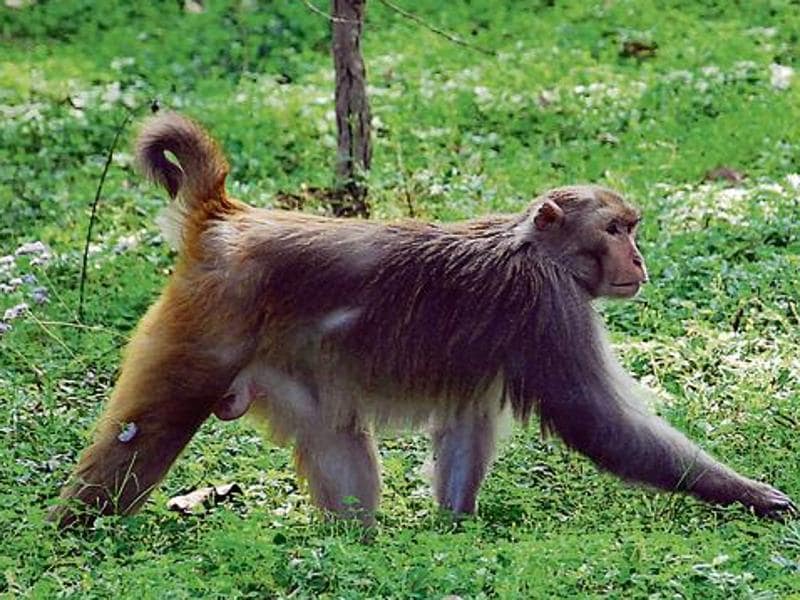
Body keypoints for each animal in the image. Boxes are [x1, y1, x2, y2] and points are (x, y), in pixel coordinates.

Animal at [50, 112, 795, 528]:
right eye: (614, 229)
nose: (637, 259)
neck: (537, 252)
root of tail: (224, 219)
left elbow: (465, 421)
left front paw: (454, 531)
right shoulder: (550, 310)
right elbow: (599, 421)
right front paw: (753, 495)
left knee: (336, 440)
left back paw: (355, 549)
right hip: (204, 334)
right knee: (148, 432)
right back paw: (72, 537)